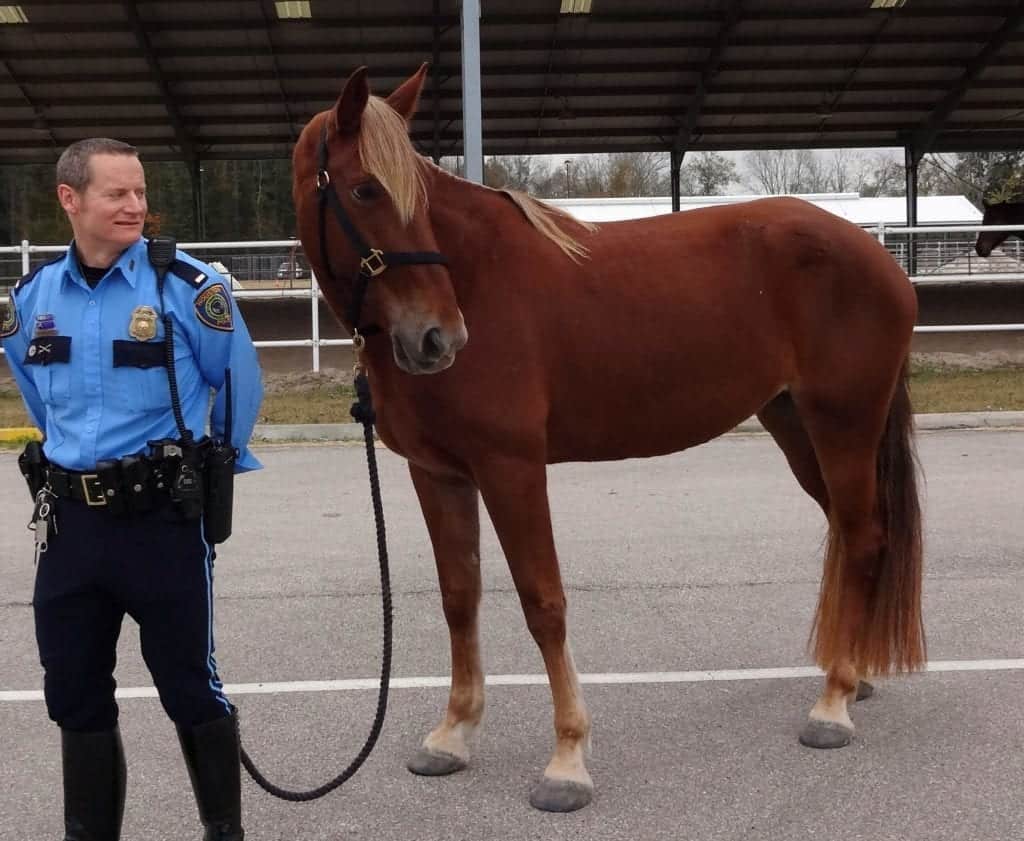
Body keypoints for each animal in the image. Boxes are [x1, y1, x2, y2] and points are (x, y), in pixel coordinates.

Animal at [291, 64, 925, 813]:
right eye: (365, 189)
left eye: (416, 194)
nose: (438, 338)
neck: (477, 274)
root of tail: (877, 257)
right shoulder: (438, 472)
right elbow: (459, 598)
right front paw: (452, 734)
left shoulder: (511, 467)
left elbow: (543, 602)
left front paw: (567, 760)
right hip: (797, 426)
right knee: (851, 535)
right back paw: (851, 676)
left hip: (843, 425)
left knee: (863, 537)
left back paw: (832, 706)